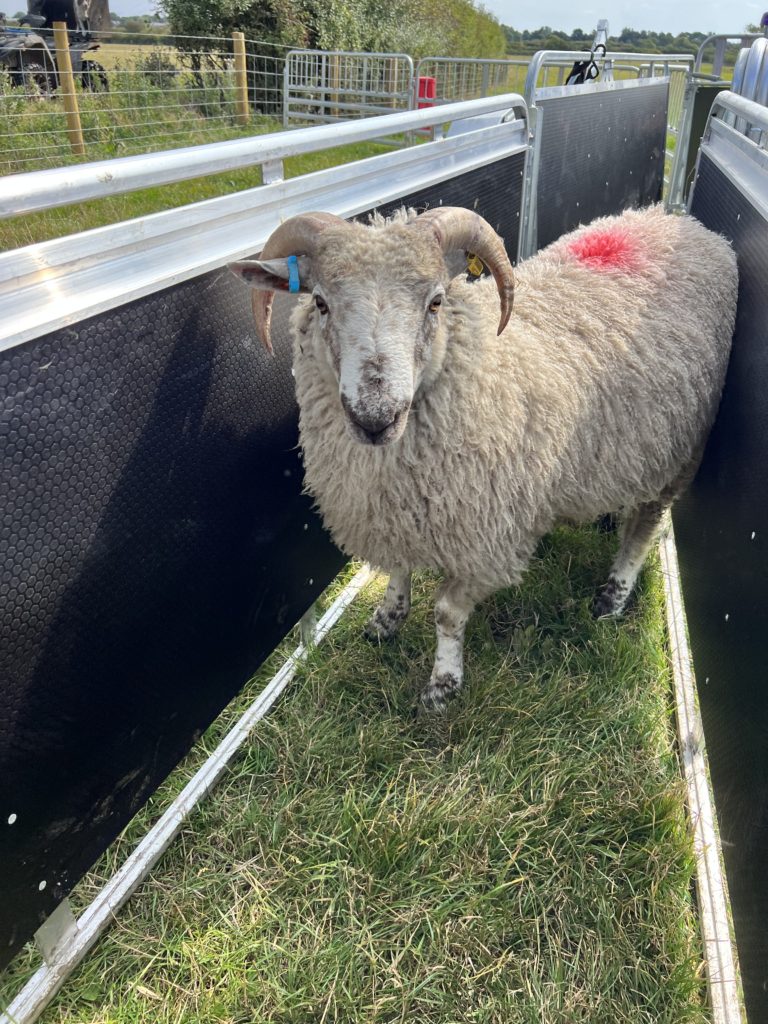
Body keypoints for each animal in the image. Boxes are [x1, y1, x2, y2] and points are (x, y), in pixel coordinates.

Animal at [230, 205, 738, 710]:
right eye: (320, 302)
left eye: (435, 302)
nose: (375, 417)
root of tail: (677, 219)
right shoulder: (394, 515)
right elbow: (398, 568)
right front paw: (387, 618)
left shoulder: (486, 541)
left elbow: (447, 614)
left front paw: (442, 686)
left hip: (677, 447)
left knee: (645, 524)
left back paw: (612, 597)